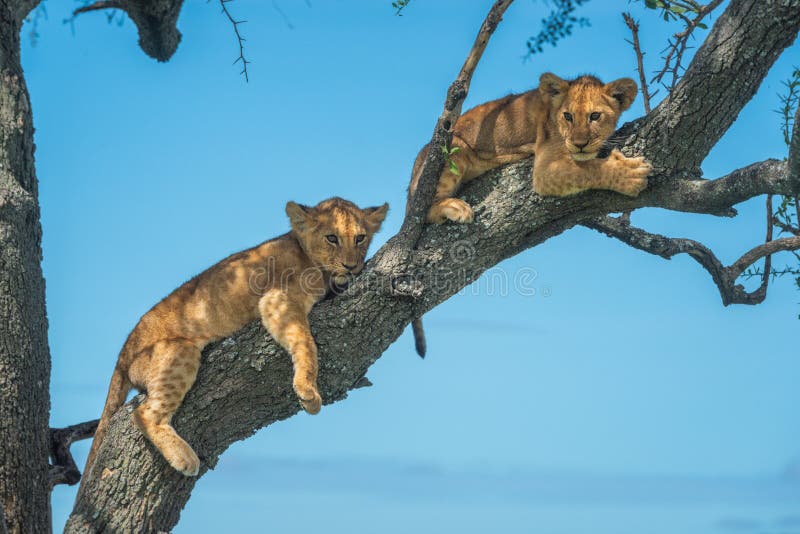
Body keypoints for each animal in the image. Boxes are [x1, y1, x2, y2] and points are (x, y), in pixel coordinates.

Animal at [83, 197, 389, 477]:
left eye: (360, 238)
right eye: (331, 238)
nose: (351, 266)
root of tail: (123, 352)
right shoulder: (277, 299)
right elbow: (305, 342)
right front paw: (307, 390)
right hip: (177, 351)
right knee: (144, 412)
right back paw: (184, 457)